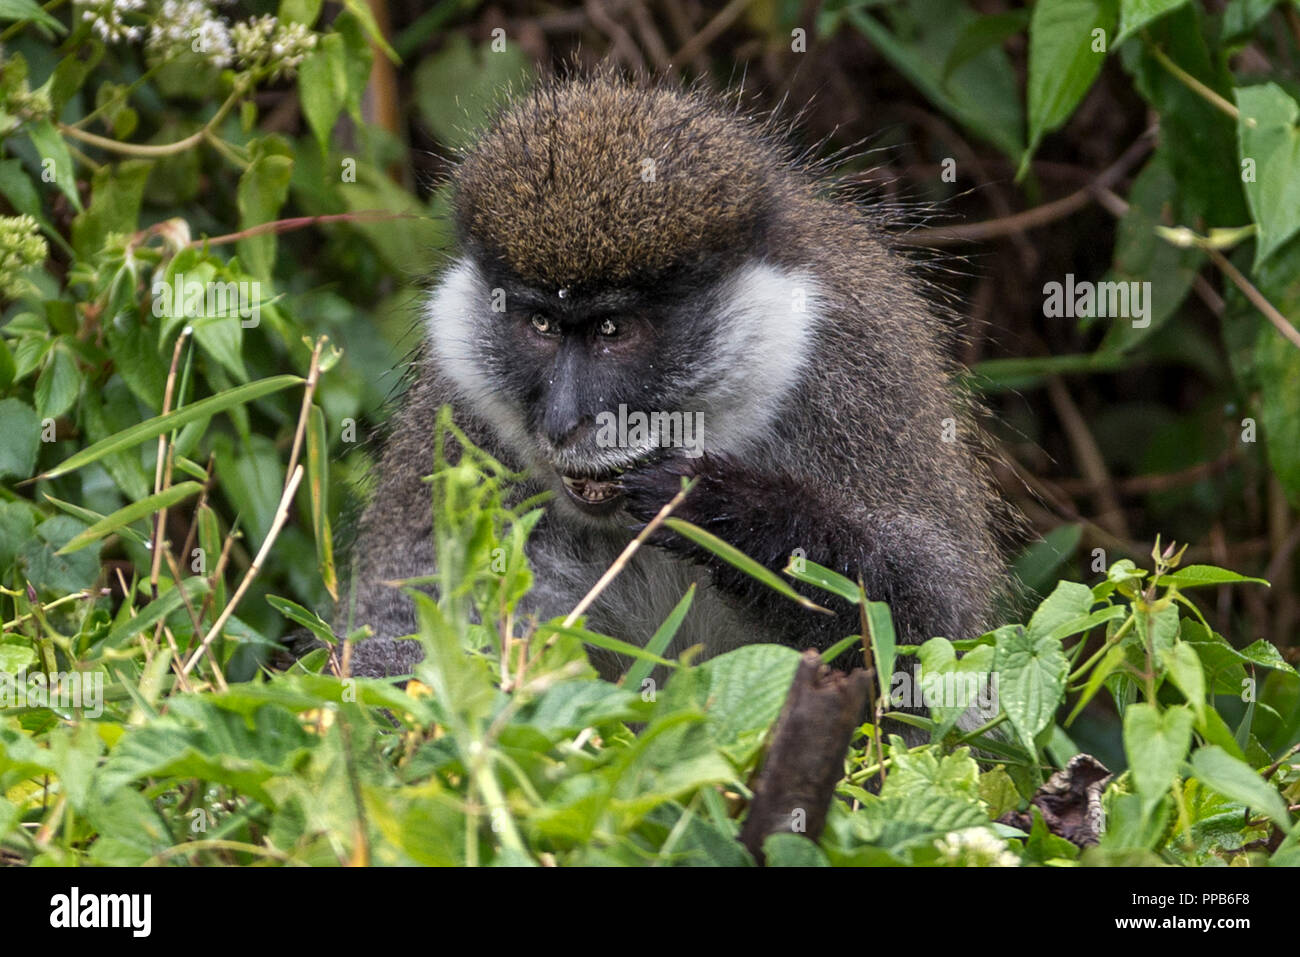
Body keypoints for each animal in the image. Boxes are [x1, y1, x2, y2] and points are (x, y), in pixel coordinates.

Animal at [337, 71, 1007, 710]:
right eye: (542, 325)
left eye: (613, 329)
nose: (564, 420)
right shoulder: (459, 411)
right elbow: (399, 618)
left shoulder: (856, 365)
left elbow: (928, 628)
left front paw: (729, 511)